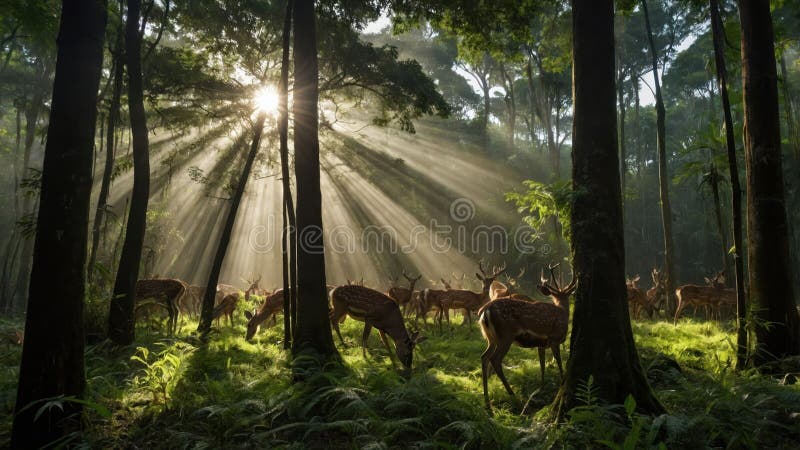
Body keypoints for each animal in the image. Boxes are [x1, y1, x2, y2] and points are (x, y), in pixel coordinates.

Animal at [477, 263, 577, 409]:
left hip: (491, 338)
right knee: (494, 359)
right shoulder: (554, 339)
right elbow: (559, 363)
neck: (562, 313)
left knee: (484, 356)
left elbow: (542, 365)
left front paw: (541, 386)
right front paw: (561, 382)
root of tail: (485, 311)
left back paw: (486, 397)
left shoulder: (541, 344)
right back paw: (512, 393)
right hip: (505, 336)